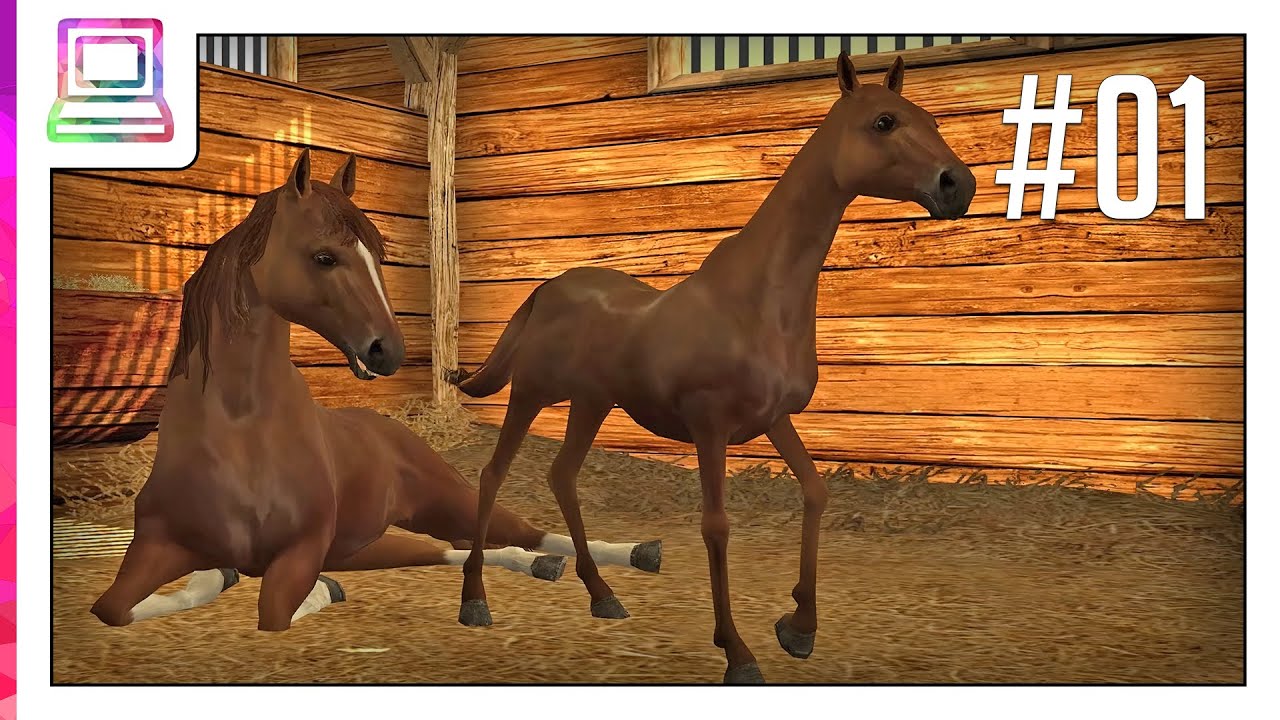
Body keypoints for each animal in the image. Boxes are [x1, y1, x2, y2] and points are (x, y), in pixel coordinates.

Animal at [89, 149, 662, 632]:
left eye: (381, 256)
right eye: (323, 257)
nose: (389, 350)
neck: (237, 427)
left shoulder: (306, 547)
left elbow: (273, 610)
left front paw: (315, 591)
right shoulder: (156, 546)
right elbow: (113, 607)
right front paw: (227, 577)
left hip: (445, 502)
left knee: (517, 529)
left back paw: (629, 558)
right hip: (379, 537)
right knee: (456, 548)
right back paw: (538, 569)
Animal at [447, 52, 977, 682]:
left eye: (933, 119)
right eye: (884, 122)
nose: (958, 185)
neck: (757, 303)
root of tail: (546, 288)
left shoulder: (774, 420)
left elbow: (816, 491)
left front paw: (800, 627)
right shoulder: (710, 427)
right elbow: (716, 524)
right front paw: (738, 651)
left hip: (592, 403)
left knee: (562, 475)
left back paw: (603, 595)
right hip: (531, 394)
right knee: (492, 475)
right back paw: (475, 600)